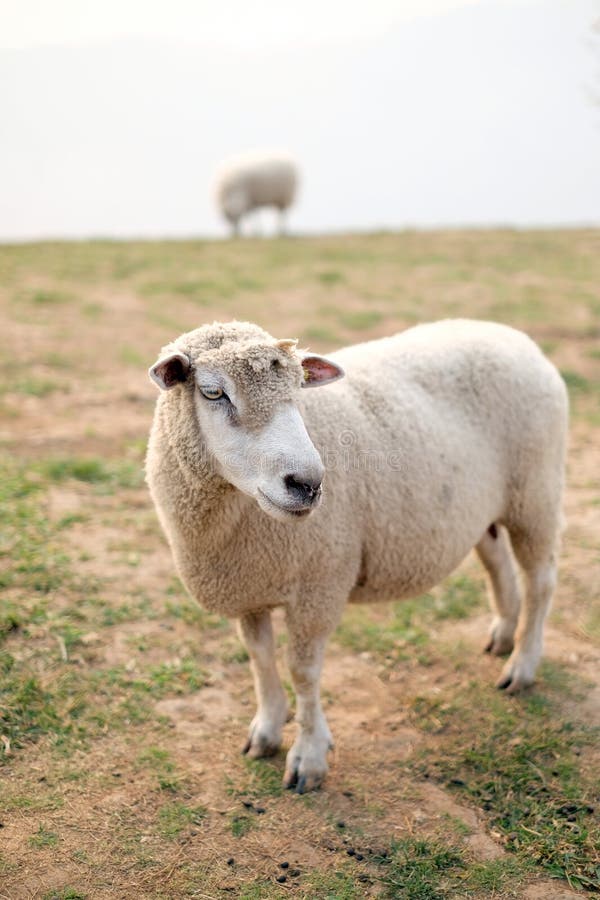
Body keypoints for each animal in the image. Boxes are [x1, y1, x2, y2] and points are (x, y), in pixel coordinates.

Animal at [146, 319, 568, 793]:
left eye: (299, 389)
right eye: (214, 393)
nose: (308, 483)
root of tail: (512, 334)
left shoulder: (320, 583)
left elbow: (303, 672)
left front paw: (309, 756)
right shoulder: (250, 587)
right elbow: (259, 658)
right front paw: (267, 729)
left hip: (536, 491)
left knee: (541, 580)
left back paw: (522, 665)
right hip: (485, 505)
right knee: (497, 562)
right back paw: (503, 635)